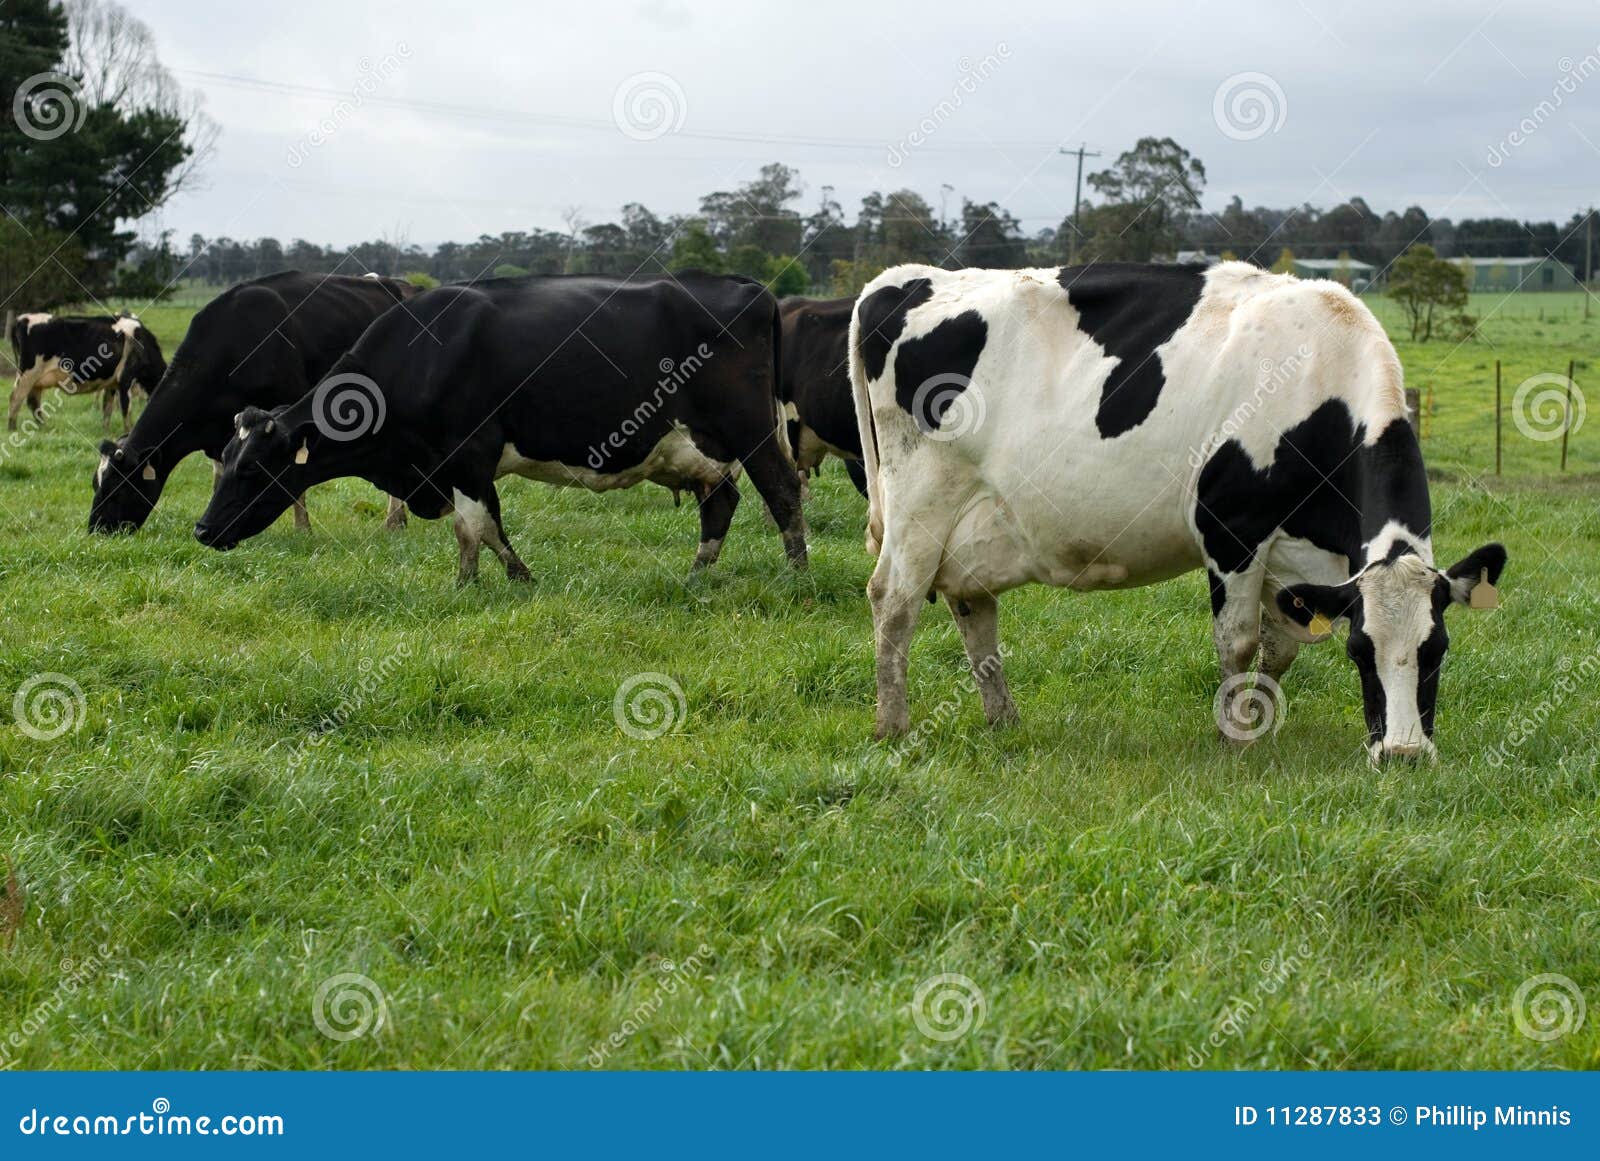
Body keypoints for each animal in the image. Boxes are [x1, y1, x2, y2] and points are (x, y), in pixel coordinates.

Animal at [7, 312, 165, 432]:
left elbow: (107, 407)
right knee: (16, 398)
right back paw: (12, 428)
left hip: (36, 379)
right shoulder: (126, 378)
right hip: (28, 373)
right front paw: (128, 432)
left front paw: (105, 431)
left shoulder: (112, 383)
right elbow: (126, 408)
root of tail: (23, 318)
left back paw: (43, 427)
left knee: (33, 402)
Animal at [88, 271, 417, 534]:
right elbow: (221, 475)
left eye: (118, 486)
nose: (96, 530)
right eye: (96, 483)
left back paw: (394, 521)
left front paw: (302, 529)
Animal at [193, 272, 808, 581]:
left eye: (252, 471)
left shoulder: (468, 454)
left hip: (750, 430)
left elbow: (482, 525)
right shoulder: (445, 466)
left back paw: (797, 575)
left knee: (782, 491)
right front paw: (467, 584)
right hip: (700, 446)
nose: (202, 530)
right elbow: (468, 533)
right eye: (226, 462)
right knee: (721, 501)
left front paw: (517, 578)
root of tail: (748, 287)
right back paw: (697, 574)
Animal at [849, 261, 1506, 762]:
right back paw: (892, 727)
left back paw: (1003, 720)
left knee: (973, 608)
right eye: (1359, 651)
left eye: (1437, 650)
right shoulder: (1231, 530)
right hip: (920, 505)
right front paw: (1235, 734)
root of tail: (907, 278)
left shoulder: (1299, 563)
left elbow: (1281, 648)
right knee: (894, 603)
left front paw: (1258, 717)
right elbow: (1238, 641)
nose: (1404, 754)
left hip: (976, 520)